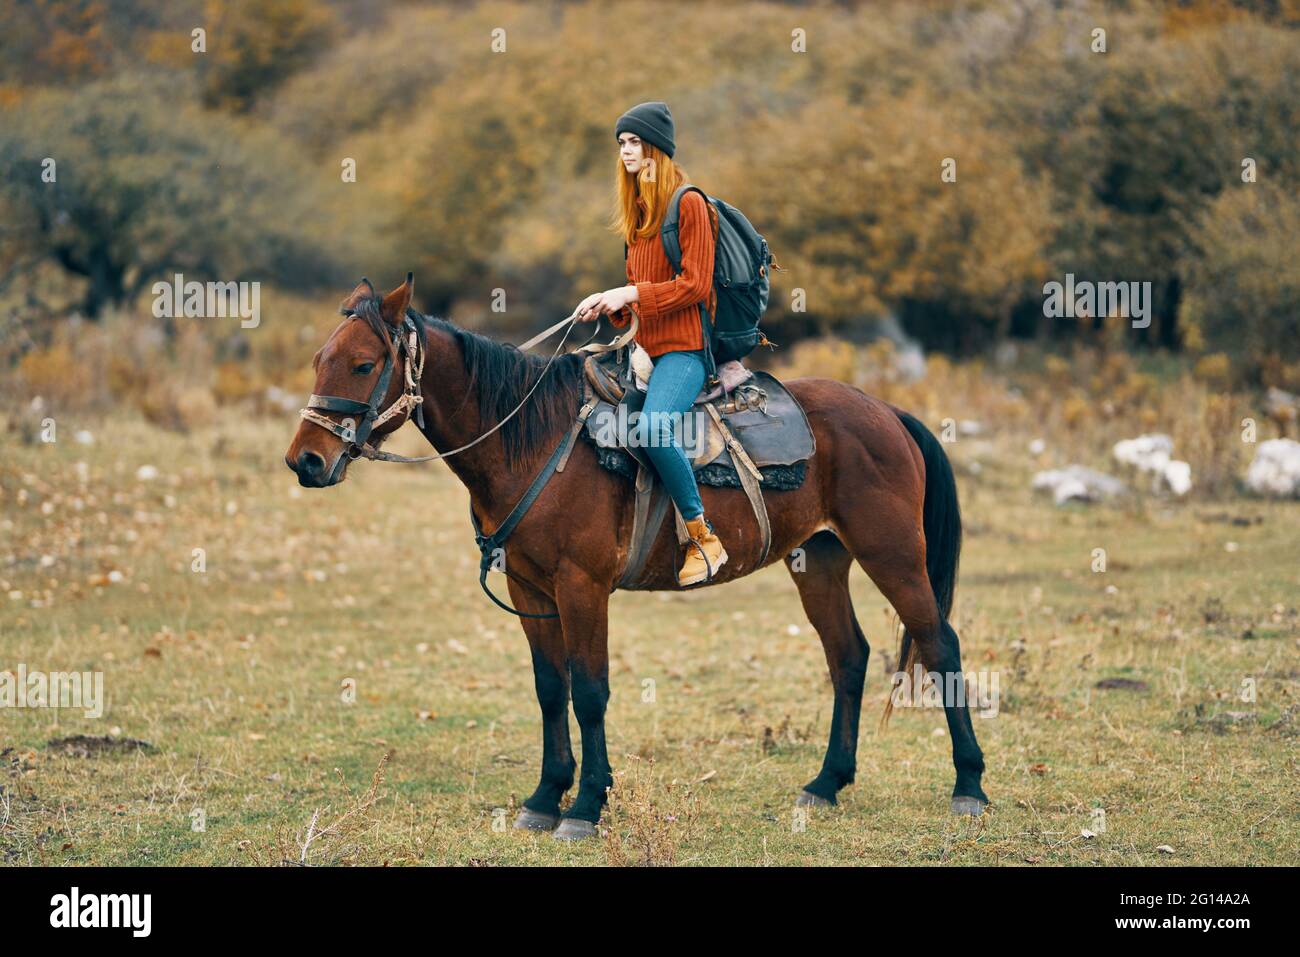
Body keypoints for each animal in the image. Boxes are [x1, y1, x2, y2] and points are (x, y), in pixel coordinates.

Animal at [285, 275, 988, 840]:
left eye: (362, 364)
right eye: (319, 359)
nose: (305, 462)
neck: (533, 442)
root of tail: (887, 411)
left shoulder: (582, 588)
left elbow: (591, 692)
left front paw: (584, 807)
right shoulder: (529, 590)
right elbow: (551, 689)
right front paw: (545, 797)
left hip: (893, 555)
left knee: (939, 644)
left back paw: (969, 786)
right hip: (818, 560)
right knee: (848, 656)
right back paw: (825, 784)